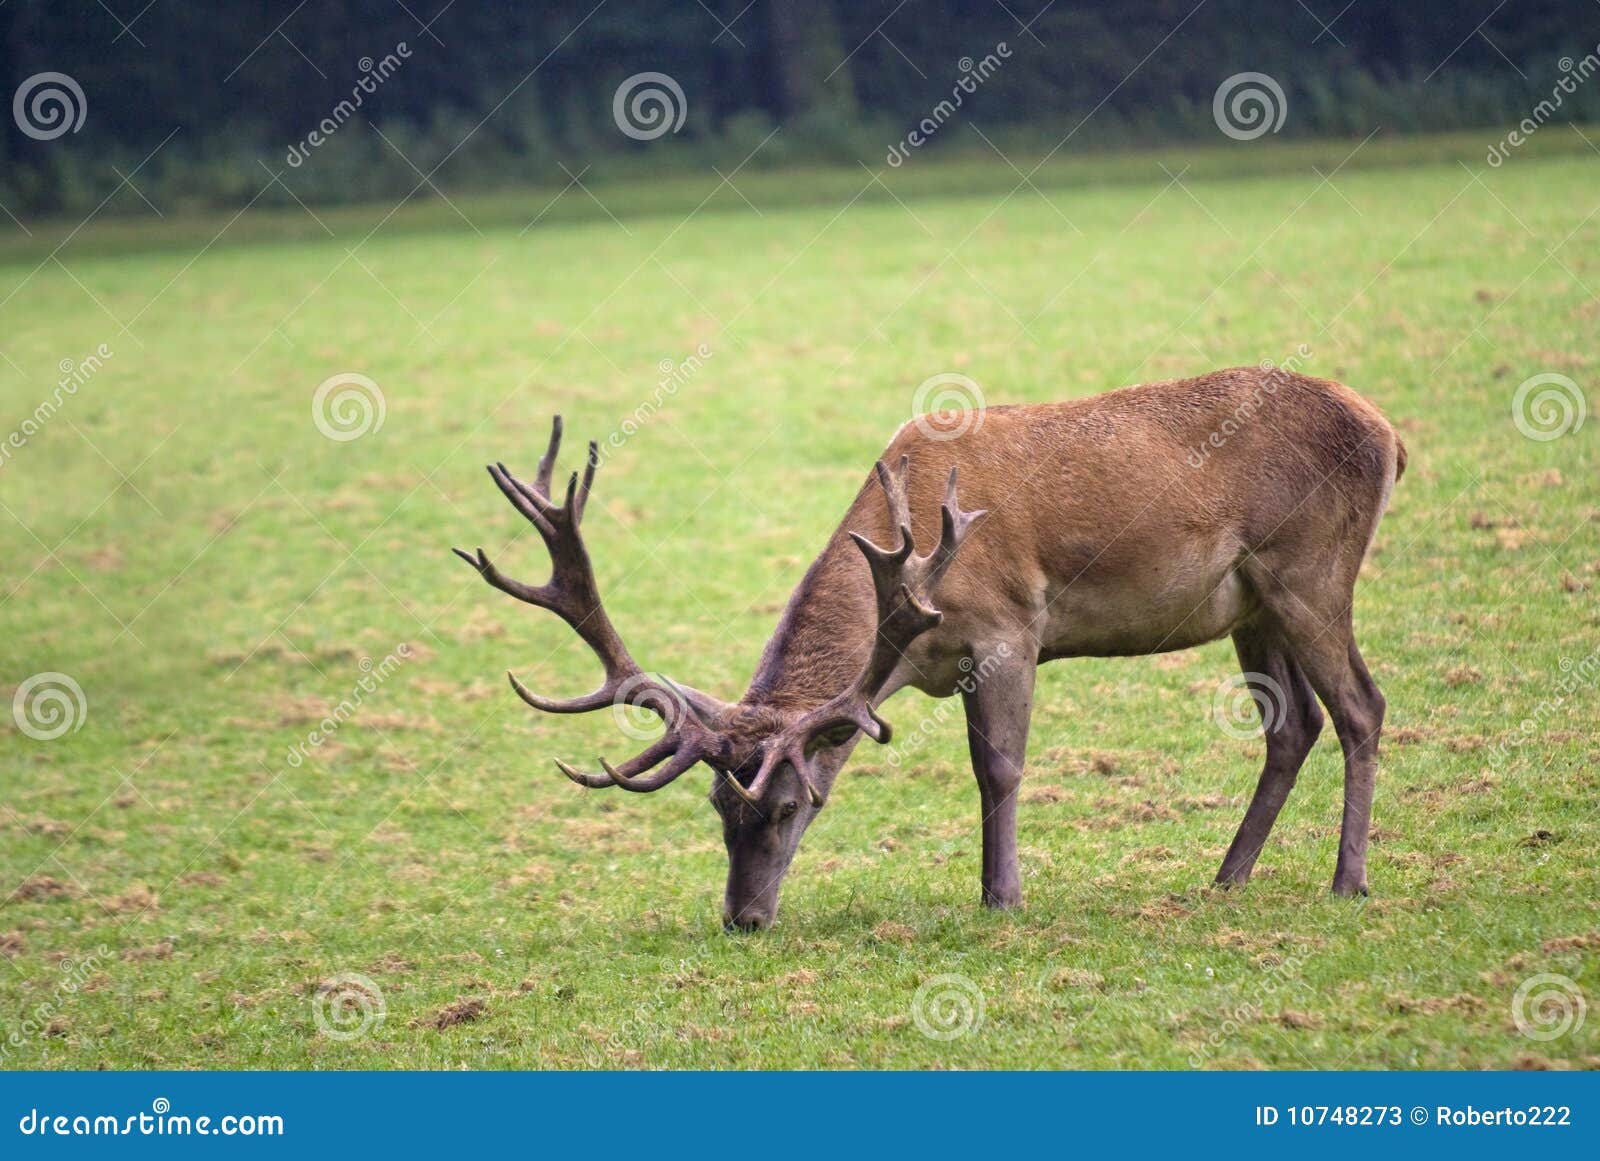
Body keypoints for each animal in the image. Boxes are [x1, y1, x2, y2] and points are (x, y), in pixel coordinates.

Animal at [454, 366, 1406, 931]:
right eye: (720, 808)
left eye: (793, 806)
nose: (743, 918)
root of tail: (1389, 431)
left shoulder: (1010, 630)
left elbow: (1000, 768)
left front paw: (1003, 897)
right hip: (1251, 604)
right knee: (1293, 723)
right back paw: (1228, 876)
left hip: (1311, 569)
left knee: (1362, 705)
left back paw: (1348, 879)